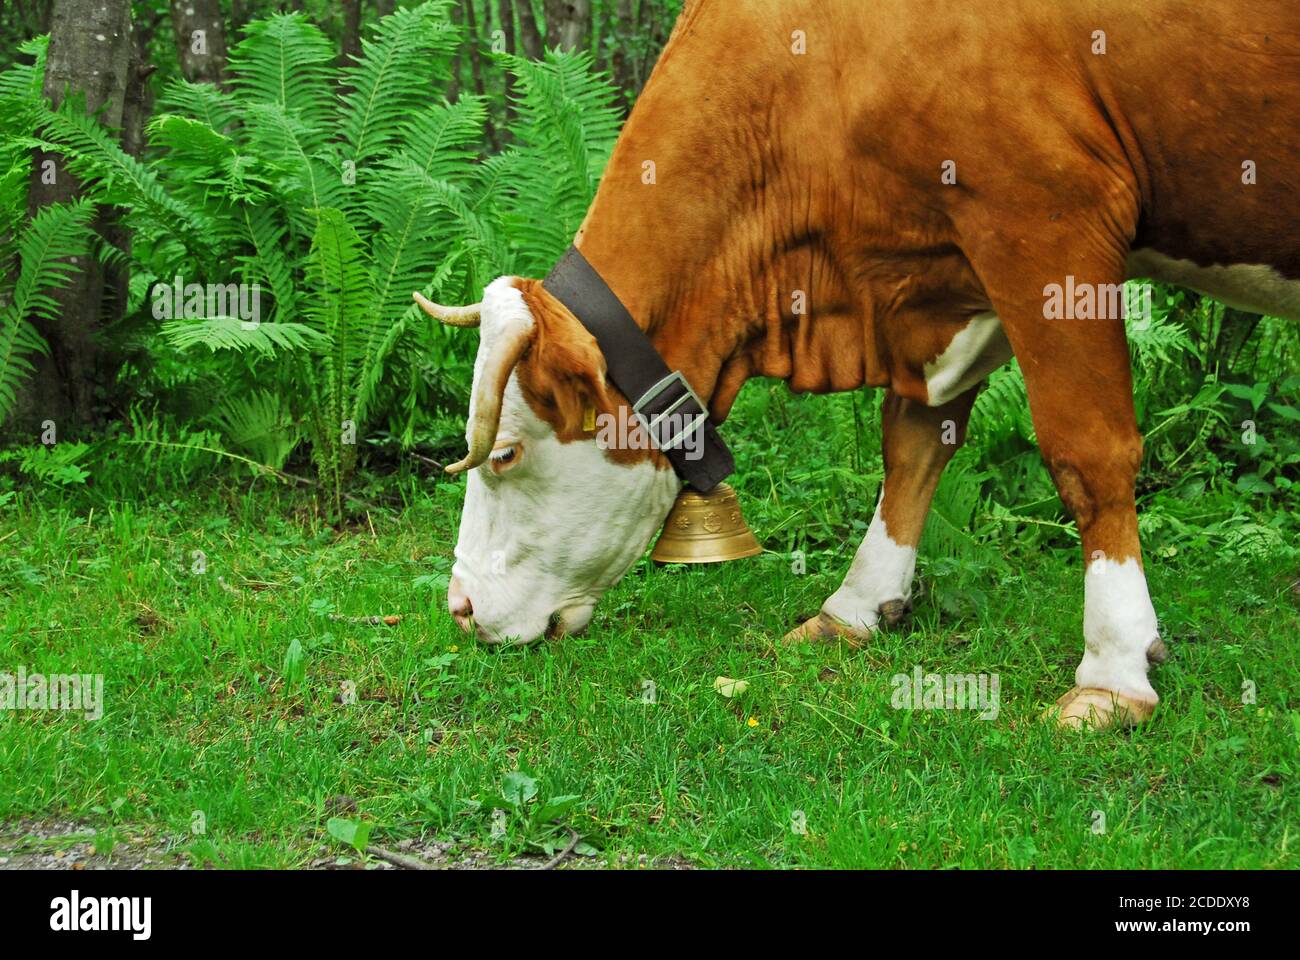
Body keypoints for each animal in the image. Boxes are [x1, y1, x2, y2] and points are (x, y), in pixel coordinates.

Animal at [415, 0, 1300, 729]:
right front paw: (857, 606)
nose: (458, 607)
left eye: (505, 452)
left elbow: (1089, 452)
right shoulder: (941, 277)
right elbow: (912, 447)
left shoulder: (1046, 218)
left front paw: (1115, 670)